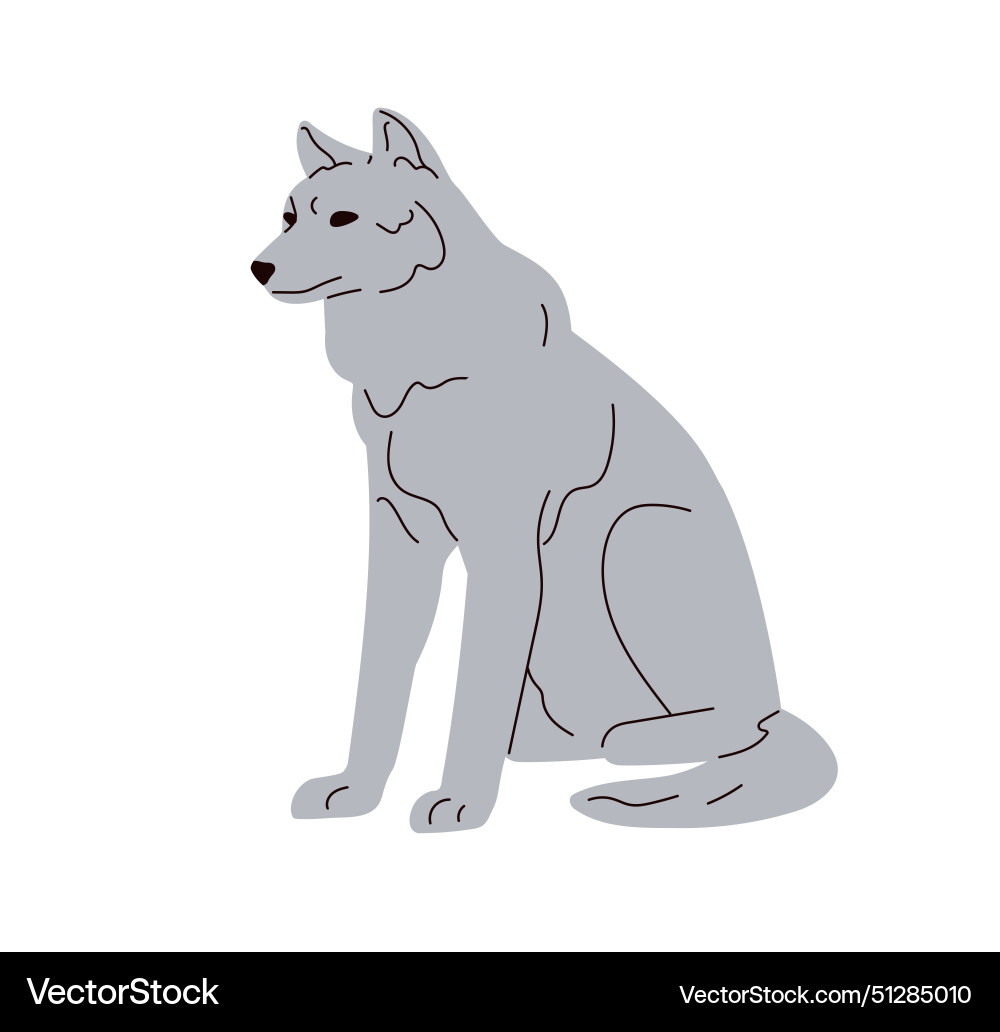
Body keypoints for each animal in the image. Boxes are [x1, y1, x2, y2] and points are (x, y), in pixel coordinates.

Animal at [251, 109, 837, 832]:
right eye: (287, 216)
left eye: (343, 218)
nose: (258, 266)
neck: (421, 372)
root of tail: (779, 708)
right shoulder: (399, 541)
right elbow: (378, 677)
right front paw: (355, 789)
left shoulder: (503, 551)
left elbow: (475, 686)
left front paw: (461, 800)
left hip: (637, 539)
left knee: (730, 728)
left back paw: (640, 739)